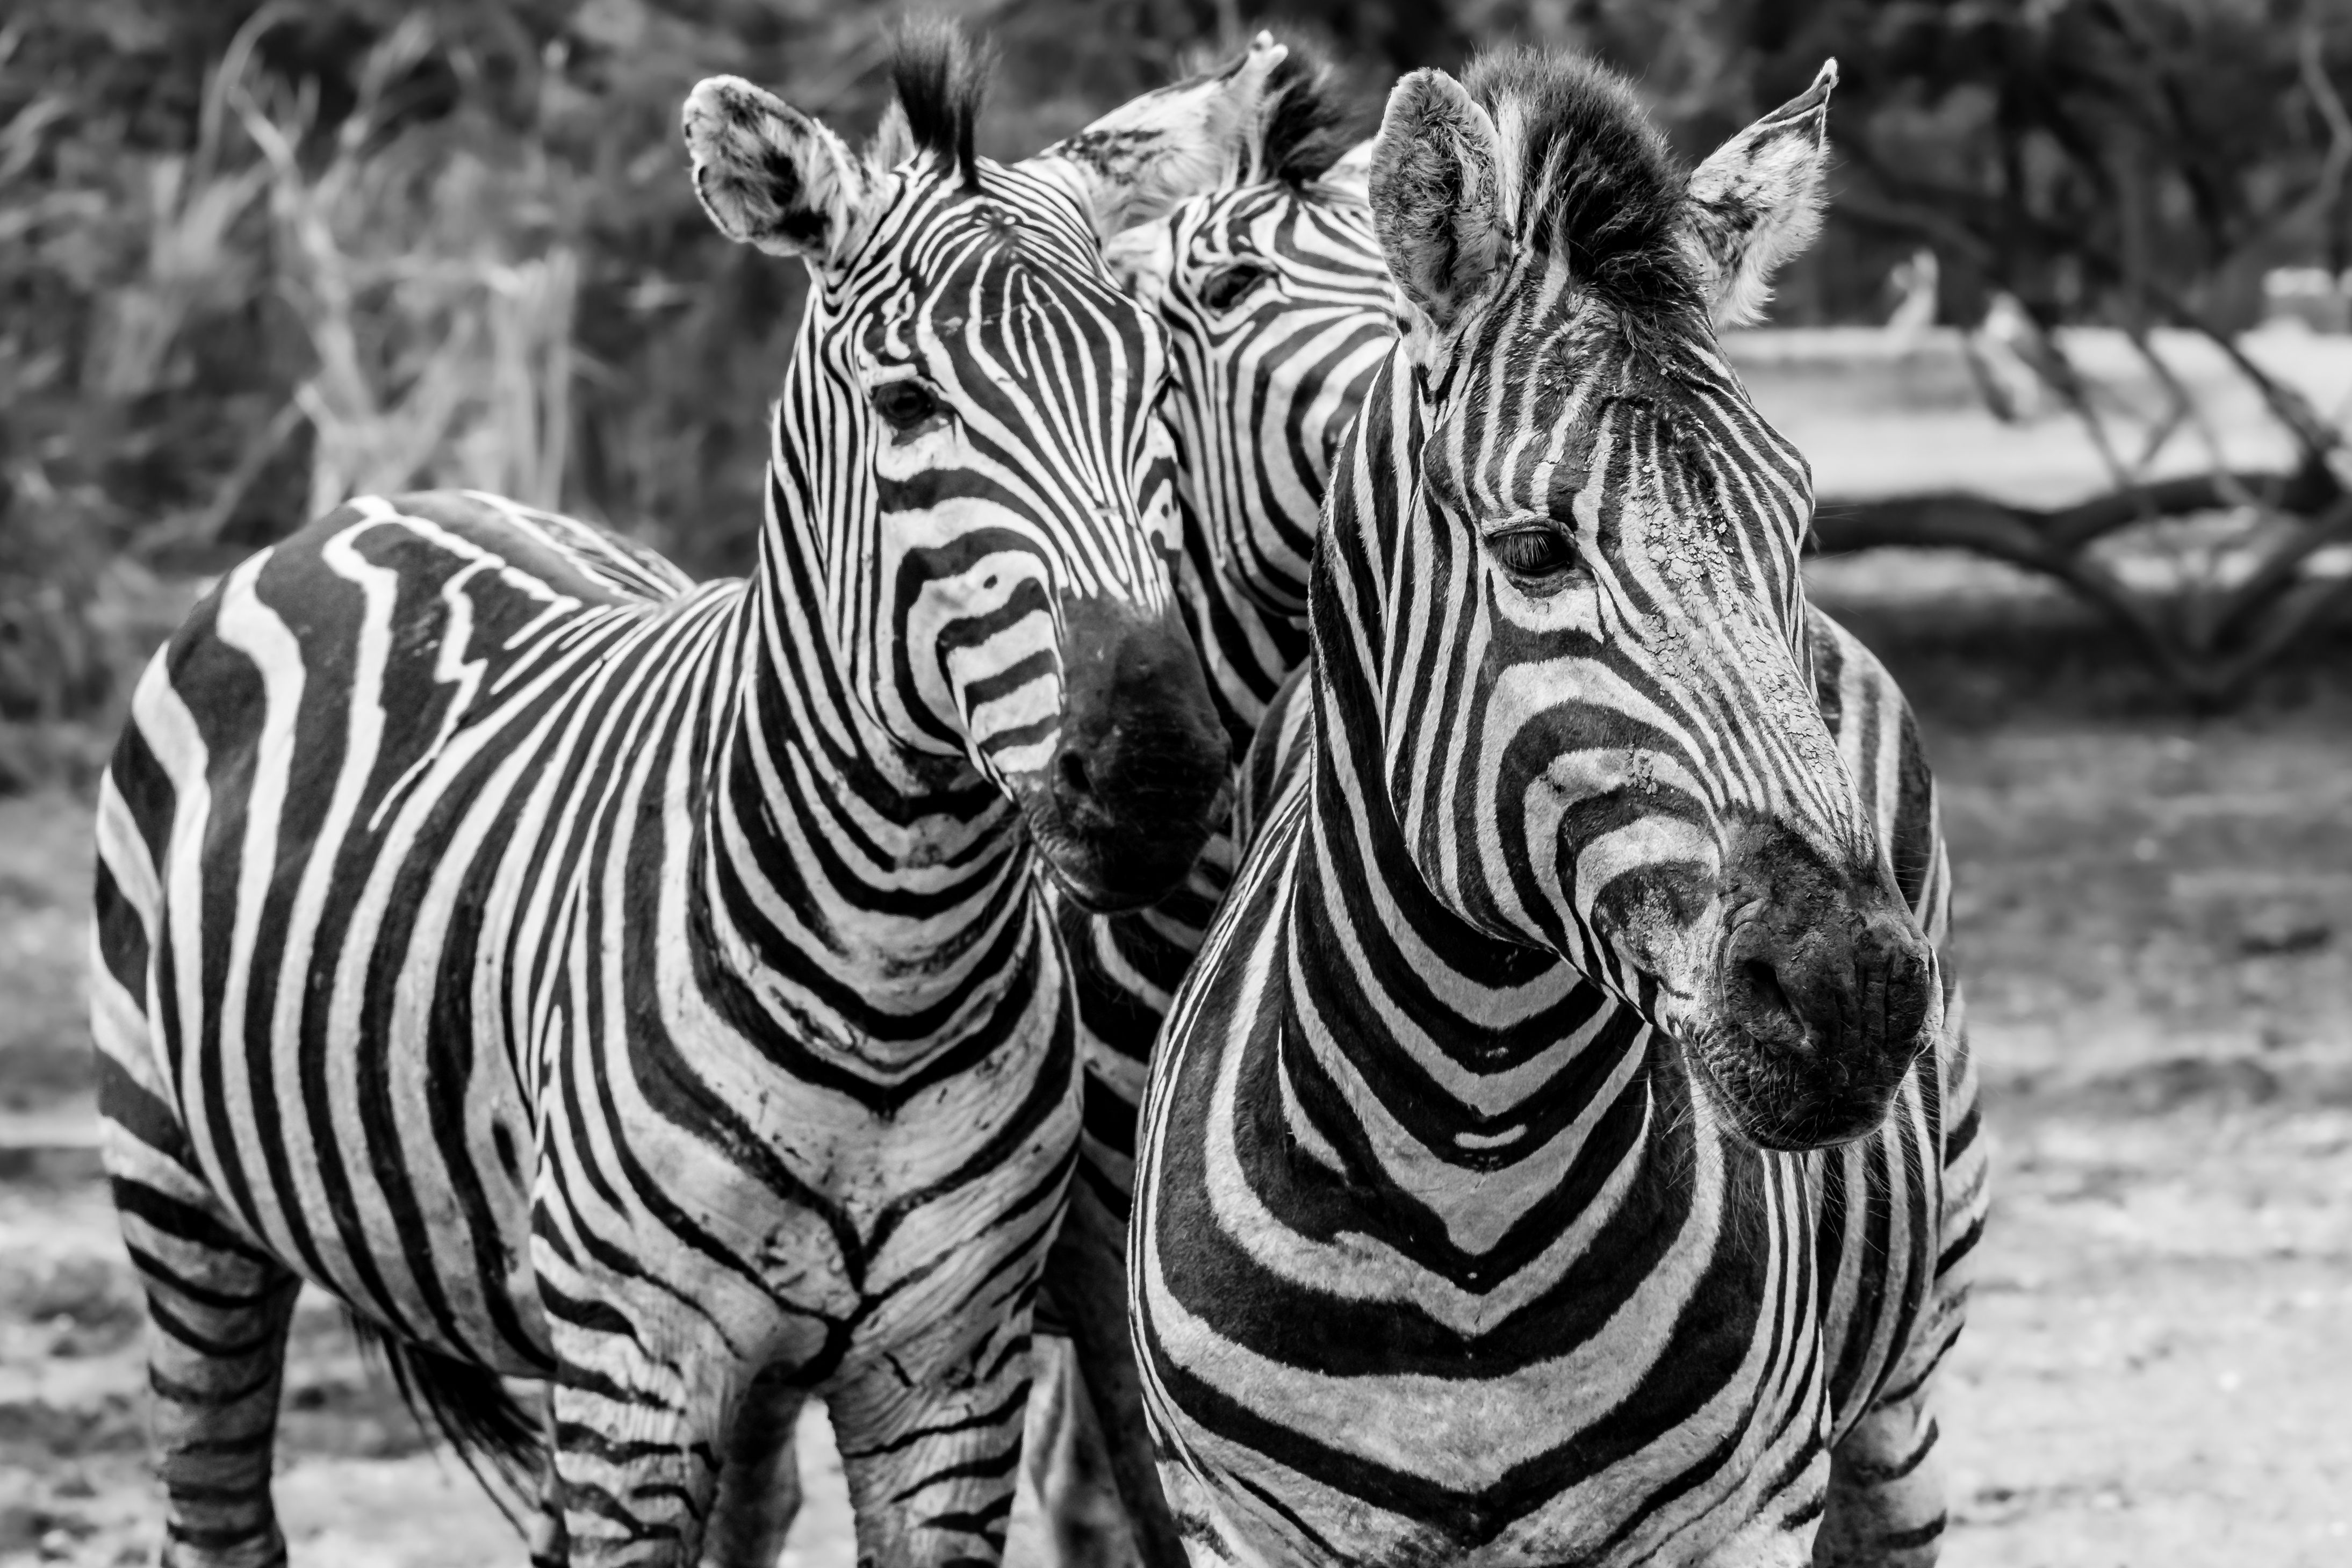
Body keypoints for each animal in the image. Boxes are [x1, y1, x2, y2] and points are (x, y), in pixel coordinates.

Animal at [88, 24, 1303, 1567]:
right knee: (216, 1502)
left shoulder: (951, 1374)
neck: (890, 983)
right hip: (179, 1197)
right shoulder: (638, 1369)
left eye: (1155, 400)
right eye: (907, 405)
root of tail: (365, 508)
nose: (1153, 774)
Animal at [1131, 48, 1990, 1568]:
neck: (1469, 1173)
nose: (1852, 992)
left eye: (1797, 526)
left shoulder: (1753, 1512)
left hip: (1905, 1374)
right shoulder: (1225, 1517)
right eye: (1534, 549)